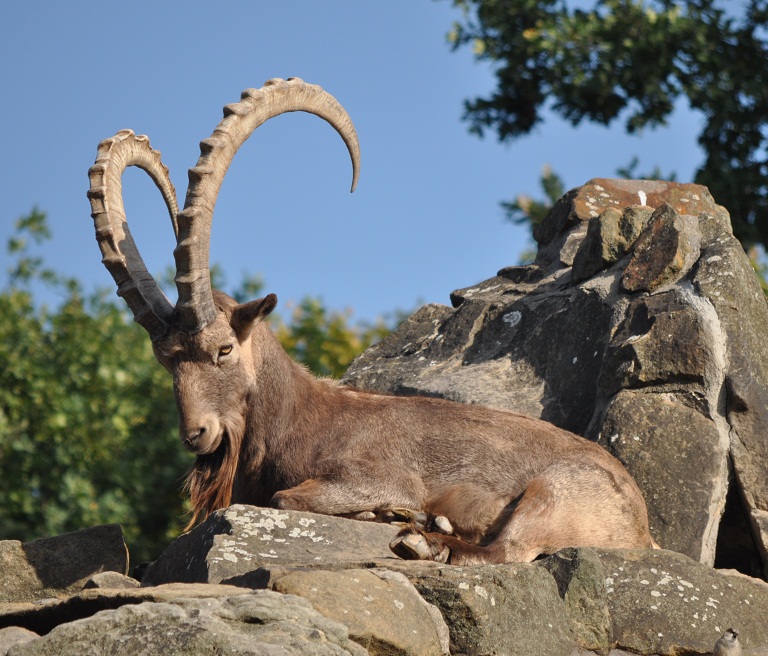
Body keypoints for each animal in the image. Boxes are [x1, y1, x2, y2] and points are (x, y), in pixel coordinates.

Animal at [87, 78, 657, 565]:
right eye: (167, 361)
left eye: (224, 349)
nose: (196, 434)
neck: (299, 418)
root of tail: (642, 525)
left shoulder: (375, 477)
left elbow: (288, 498)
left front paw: (389, 514)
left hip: (551, 494)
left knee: (505, 550)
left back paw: (423, 537)